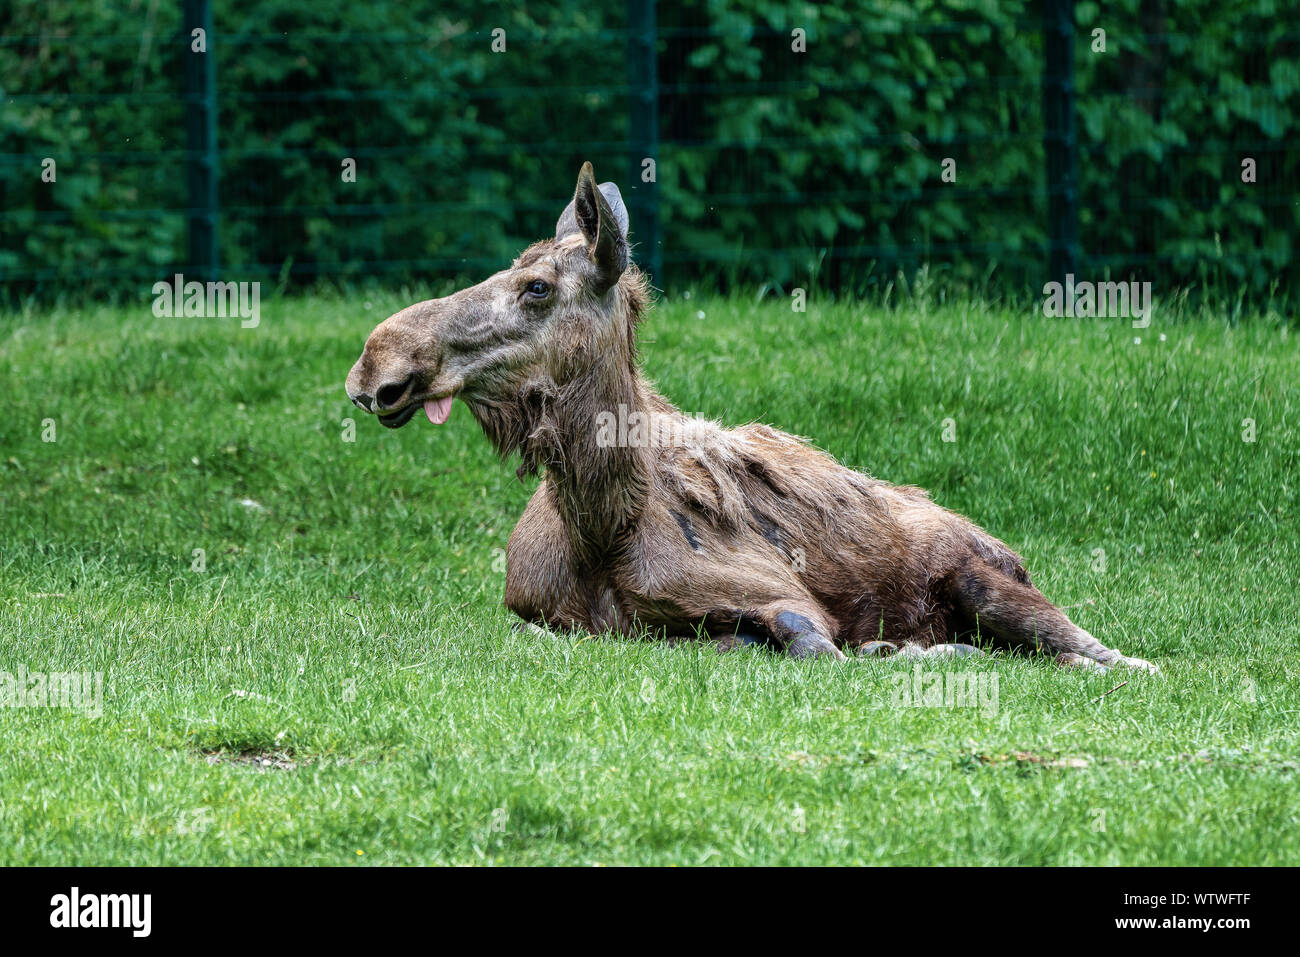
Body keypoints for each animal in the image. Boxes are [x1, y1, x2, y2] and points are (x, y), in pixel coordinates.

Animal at [345, 162, 1158, 673]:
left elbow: (814, 647)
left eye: (538, 286)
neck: (600, 525)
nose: (377, 363)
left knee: (1113, 656)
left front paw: (907, 652)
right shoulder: (533, 617)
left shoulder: (786, 599)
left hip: (988, 580)